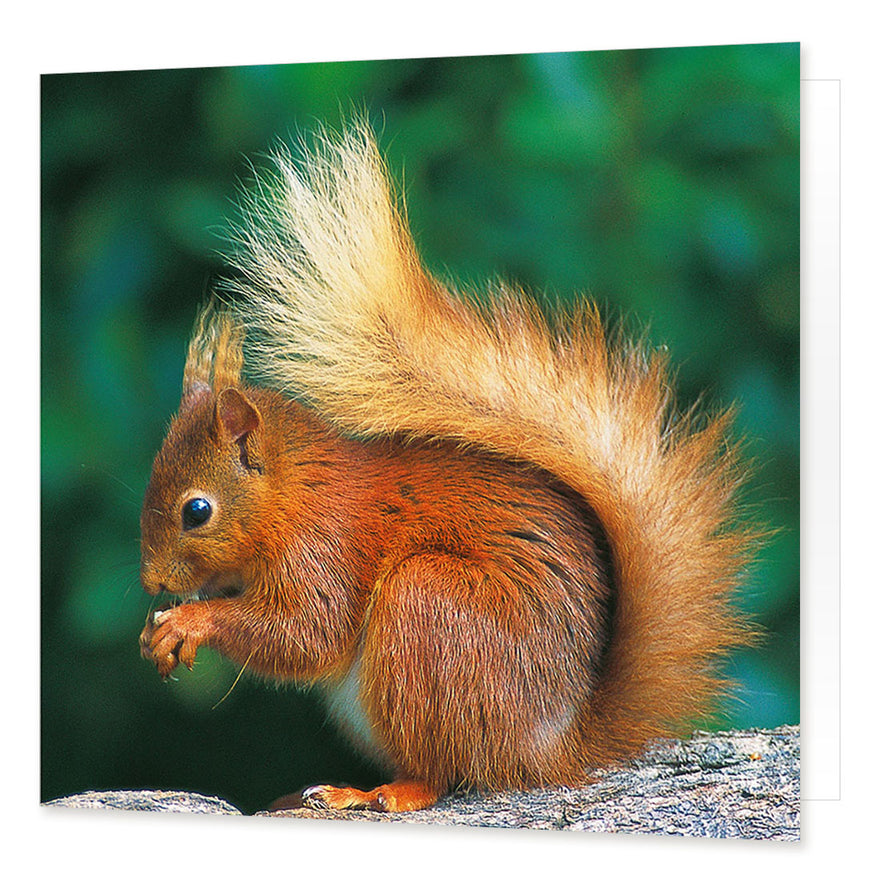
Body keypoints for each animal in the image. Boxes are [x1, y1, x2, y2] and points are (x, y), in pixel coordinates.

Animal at [138, 122, 757, 813]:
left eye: (197, 510)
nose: (151, 582)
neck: (294, 493)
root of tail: (551, 749)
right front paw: (159, 630)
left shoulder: (325, 547)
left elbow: (304, 632)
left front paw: (189, 621)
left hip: (429, 614)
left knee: (442, 773)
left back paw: (376, 793)